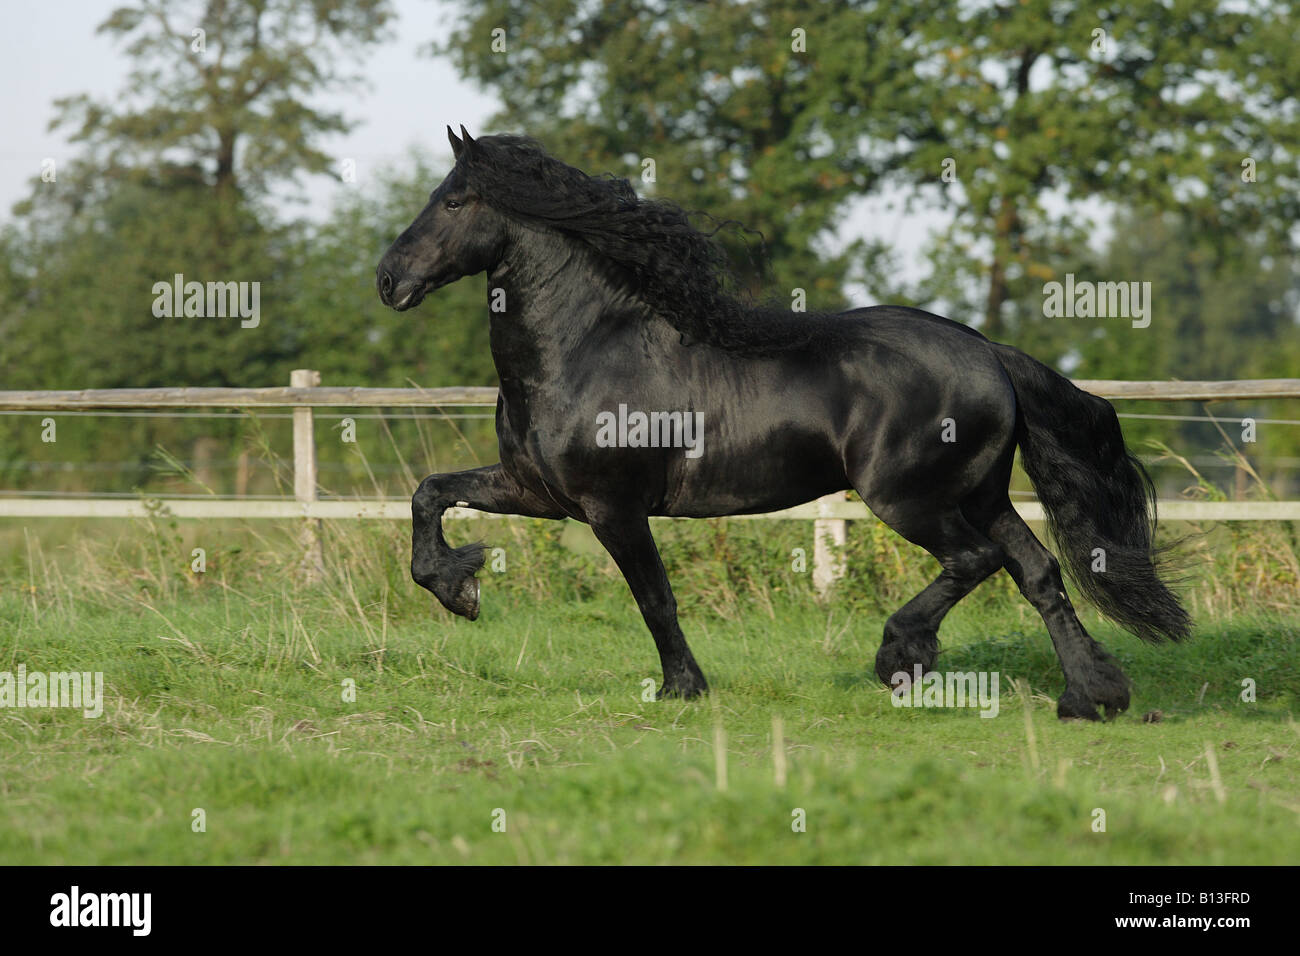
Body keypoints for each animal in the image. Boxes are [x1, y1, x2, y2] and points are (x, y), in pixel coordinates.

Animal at [376, 126, 1189, 720]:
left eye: (456, 202)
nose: (388, 280)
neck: (585, 348)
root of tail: (989, 351)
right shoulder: (535, 491)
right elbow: (429, 493)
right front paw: (456, 589)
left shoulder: (613, 507)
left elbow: (654, 597)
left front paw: (682, 688)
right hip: (980, 492)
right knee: (1038, 573)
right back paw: (1090, 698)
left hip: (909, 498)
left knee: (976, 561)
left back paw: (901, 658)